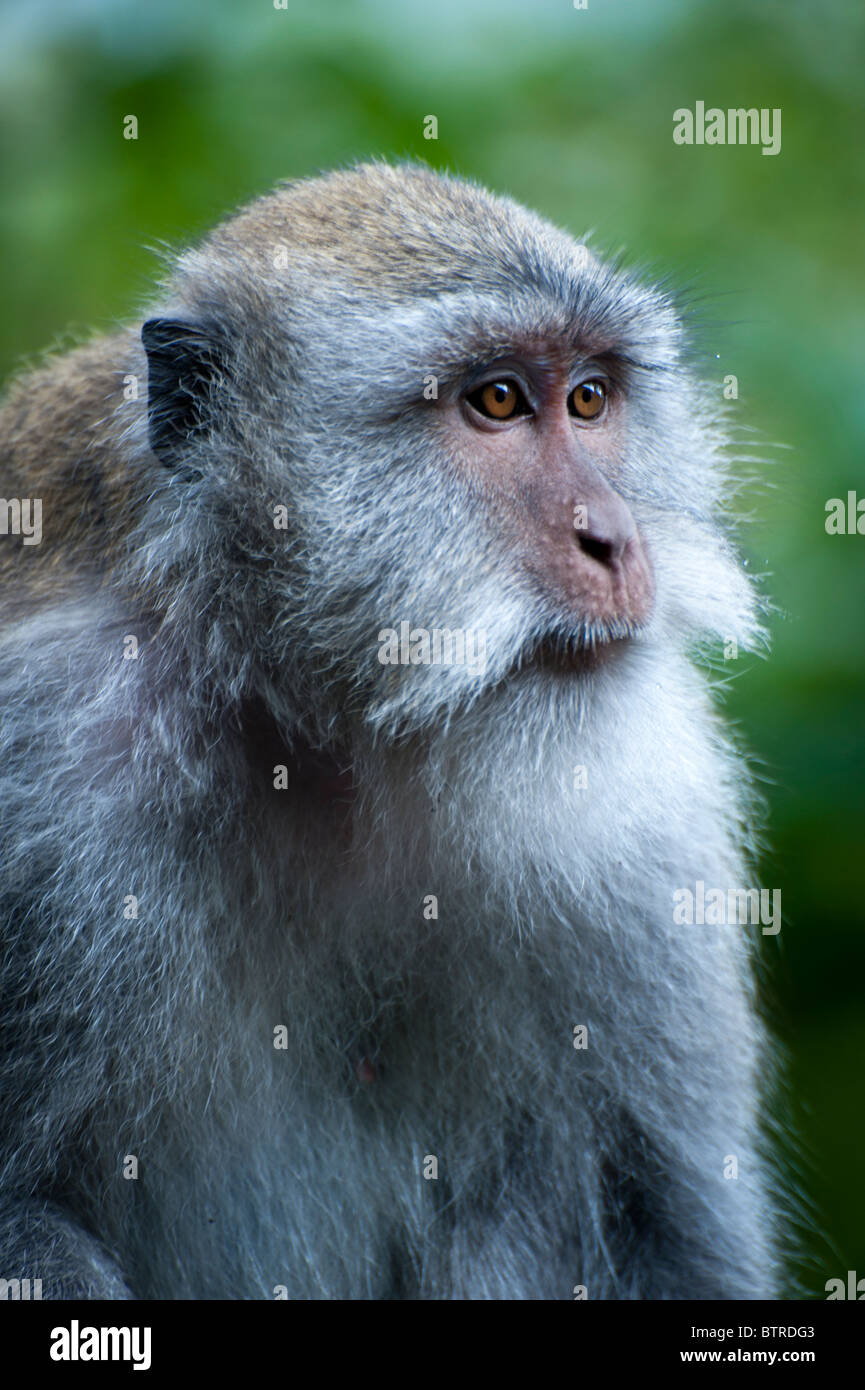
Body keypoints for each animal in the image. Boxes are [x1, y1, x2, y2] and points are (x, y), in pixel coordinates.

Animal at [0, 160, 782, 1300]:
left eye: (589, 398)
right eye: (495, 401)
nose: (612, 535)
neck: (318, 732)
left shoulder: (655, 823)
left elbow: (673, 1231)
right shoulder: (51, 782)